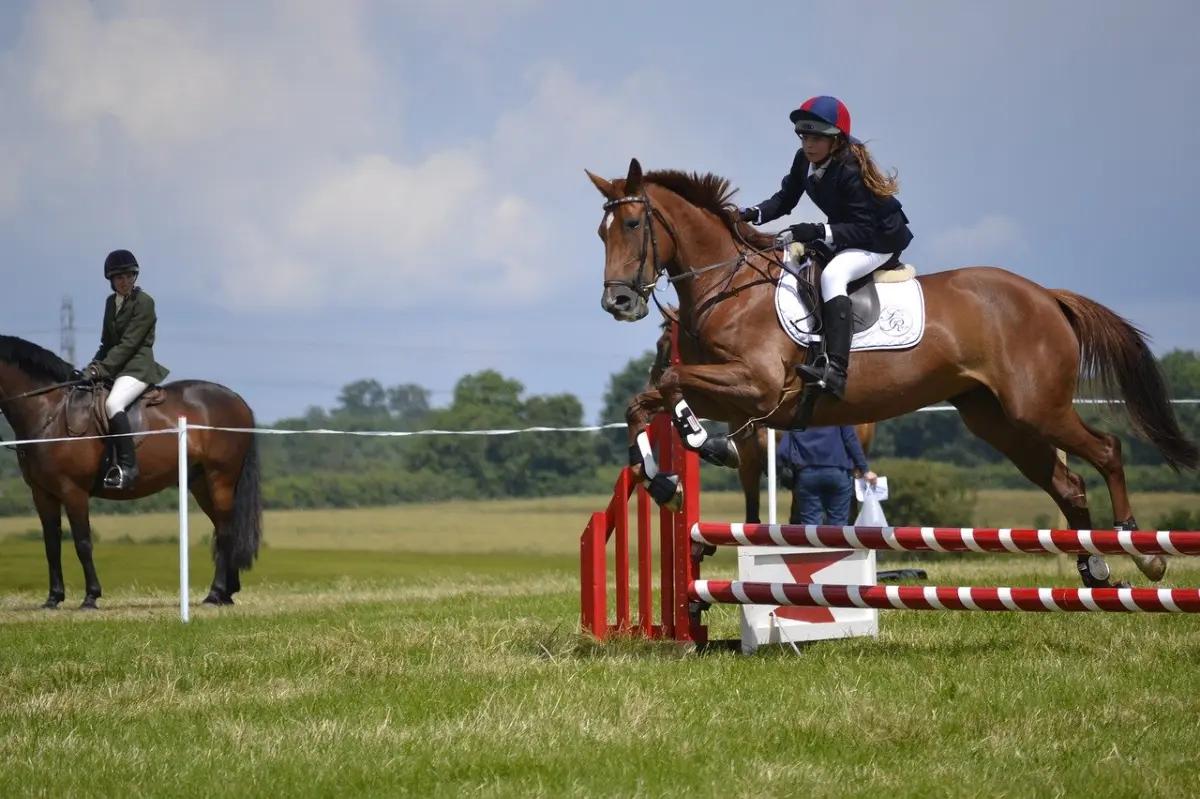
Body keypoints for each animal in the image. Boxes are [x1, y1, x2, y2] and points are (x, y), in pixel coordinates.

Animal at [0, 335, 262, 609]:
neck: (51, 413)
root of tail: (237, 400)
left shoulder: (73, 491)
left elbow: (83, 542)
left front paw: (90, 597)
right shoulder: (42, 493)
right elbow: (51, 544)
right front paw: (53, 598)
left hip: (220, 477)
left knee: (224, 532)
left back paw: (215, 594)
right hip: (201, 483)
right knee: (224, 528)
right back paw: (227, 594)